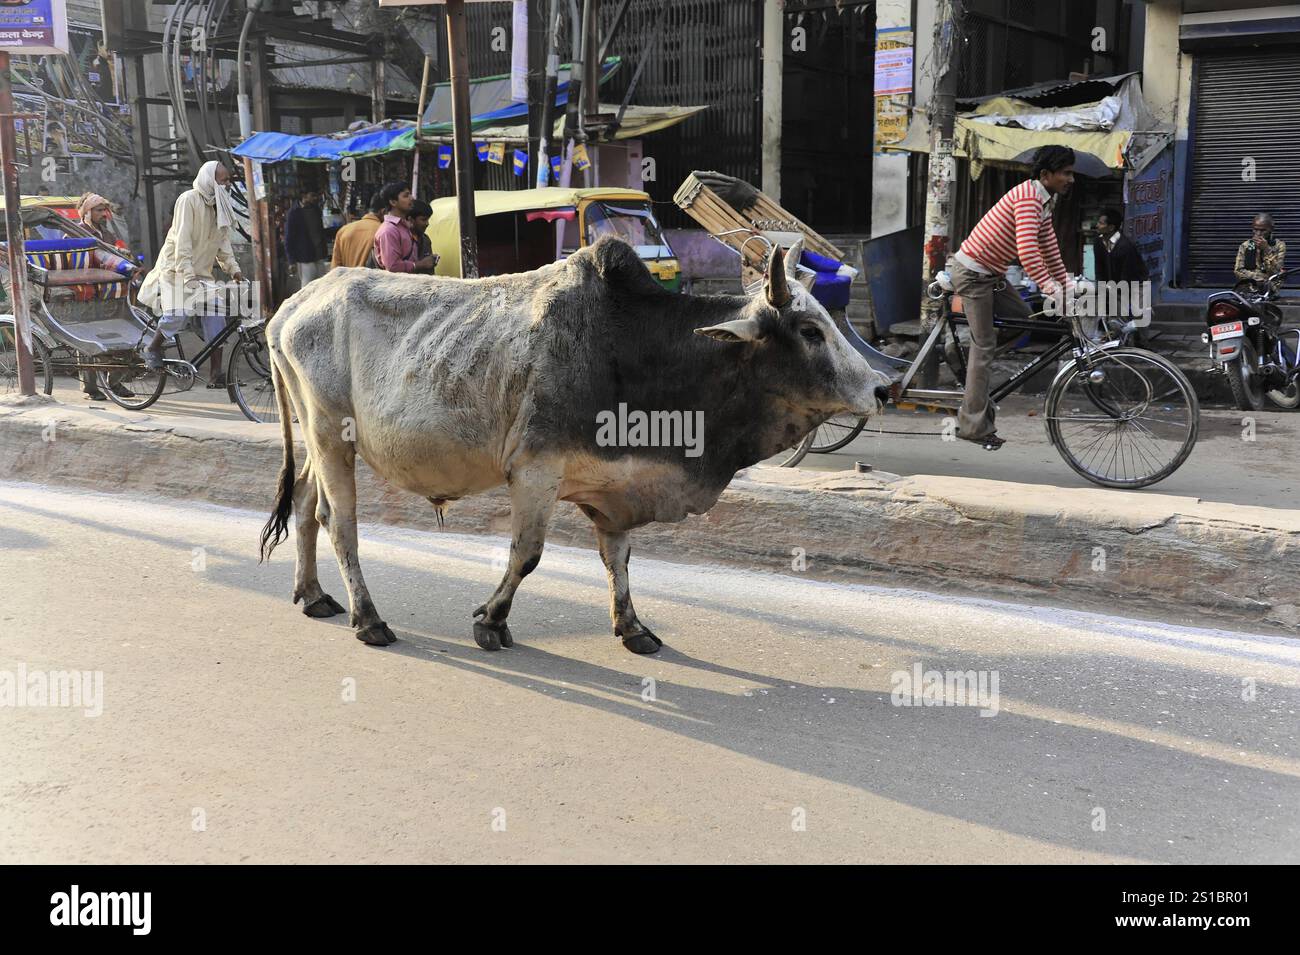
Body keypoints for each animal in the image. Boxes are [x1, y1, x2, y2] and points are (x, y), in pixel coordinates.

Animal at [259, 236, 891, 655]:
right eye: (809, 330)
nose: (883, 387)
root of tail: (291, 305)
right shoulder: (536, 472)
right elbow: (527, 554)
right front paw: (491, 621)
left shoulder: (616, 483)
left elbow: (619, 559)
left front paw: (632, 627)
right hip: (330, 435)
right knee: (340, 522)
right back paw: (367, 620)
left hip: (320, 441)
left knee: (305, 505)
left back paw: (312, 594)